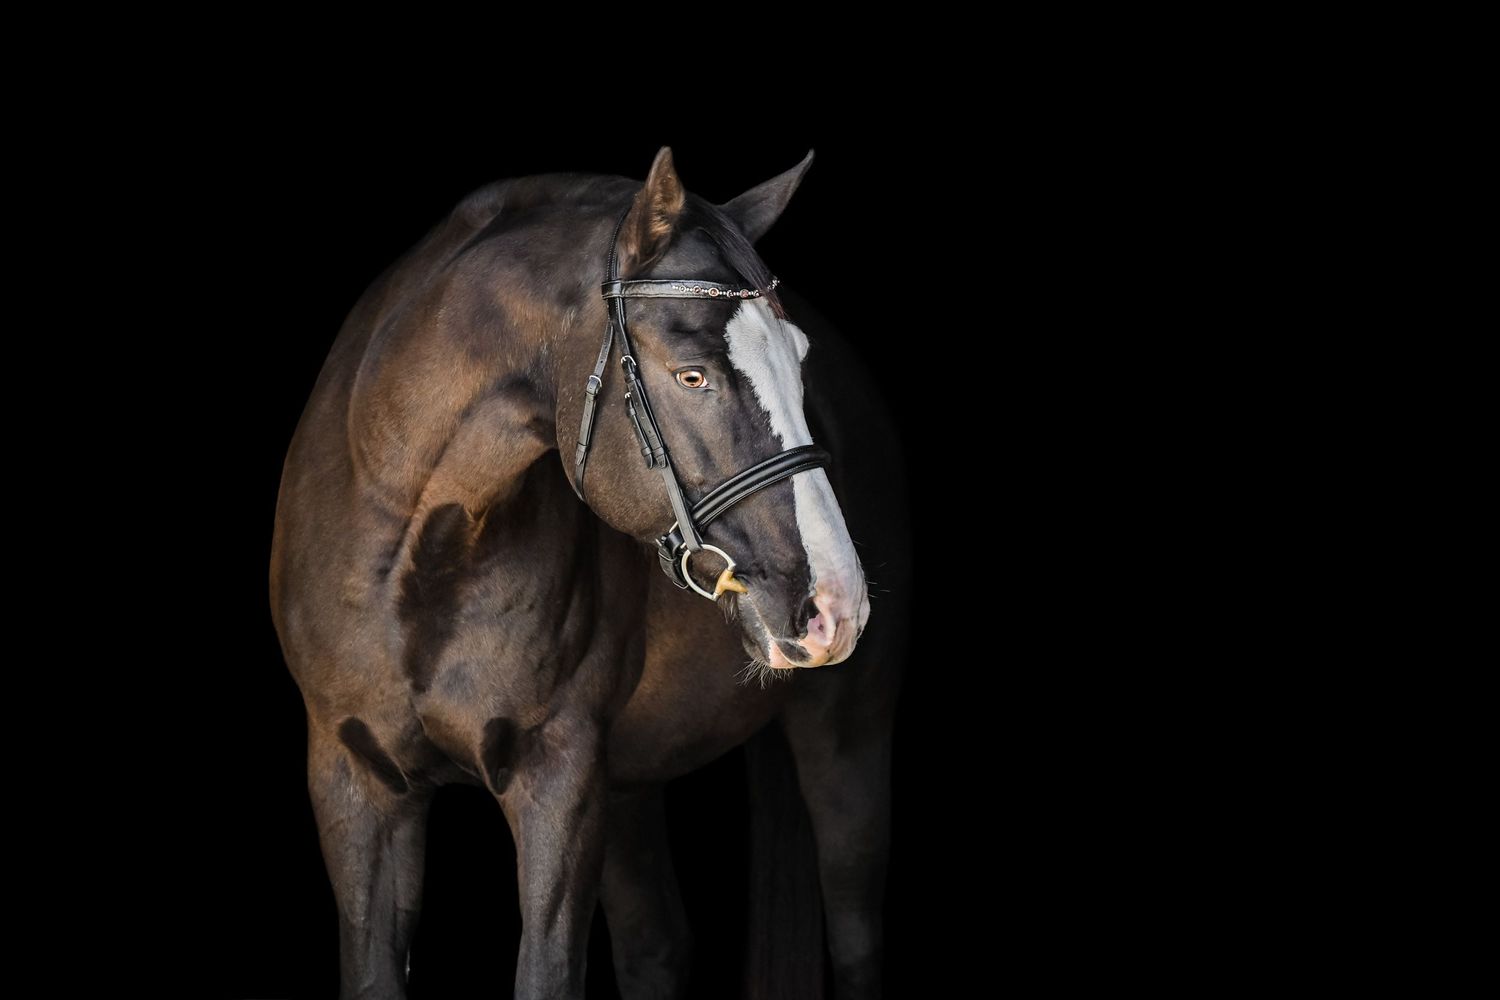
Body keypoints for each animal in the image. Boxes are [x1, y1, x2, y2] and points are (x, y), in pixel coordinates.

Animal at [270, 147, 910, 999]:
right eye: (692, 375)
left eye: (799, 362)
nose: (836, 604)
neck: (415, 557)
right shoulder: (356, 784)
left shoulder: (560, 781)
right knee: (655, 950)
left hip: (848, 743)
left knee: (857, 939)